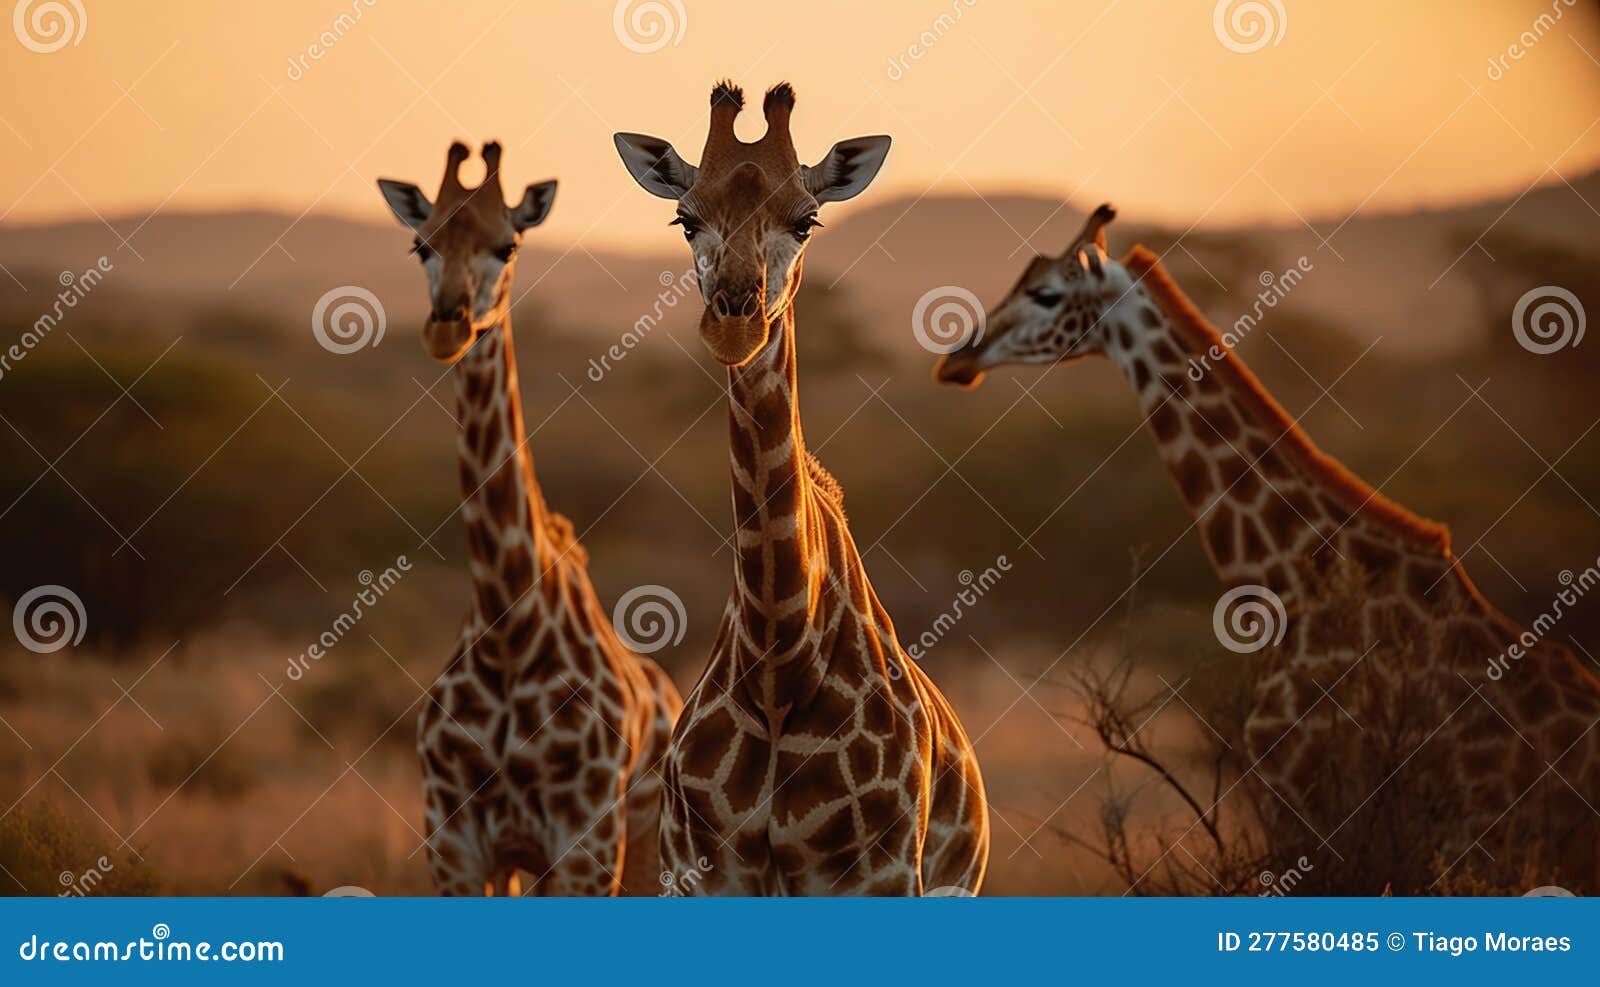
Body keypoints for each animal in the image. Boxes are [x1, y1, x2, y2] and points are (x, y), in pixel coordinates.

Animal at [376, 141, 681, 896]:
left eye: (507, 242)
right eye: (421, 244)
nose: (449, 324)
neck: (508, 624)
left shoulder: (583, 843)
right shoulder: (455, 841)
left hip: (644, 844)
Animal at [614, 82, 989, 895]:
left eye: (806, 219)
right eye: (685, 218)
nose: (735, 321)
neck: (779, 665)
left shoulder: (880, 874)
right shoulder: (696, 872)